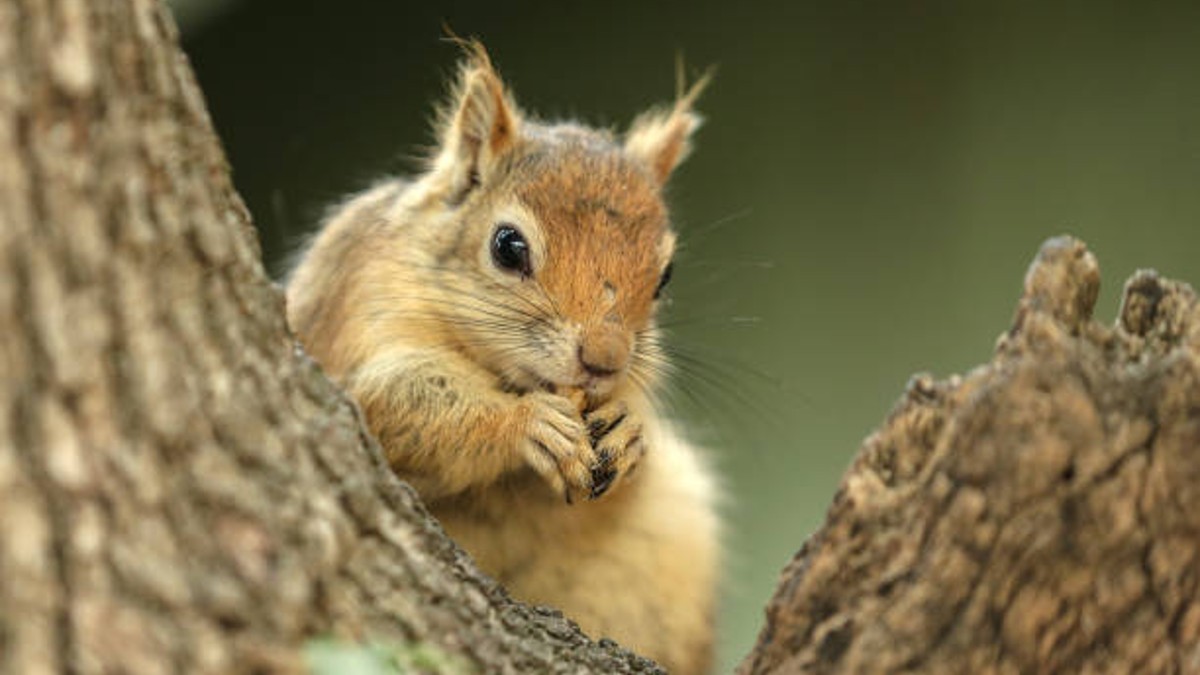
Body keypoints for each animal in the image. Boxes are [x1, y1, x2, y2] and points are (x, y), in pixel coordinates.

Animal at [286, 42, 720, 674]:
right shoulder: (356, 319)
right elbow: (389, 403)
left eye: (665, 275)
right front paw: (529, 424)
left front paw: (628, 428)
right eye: (507, 247)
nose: (605, 361)